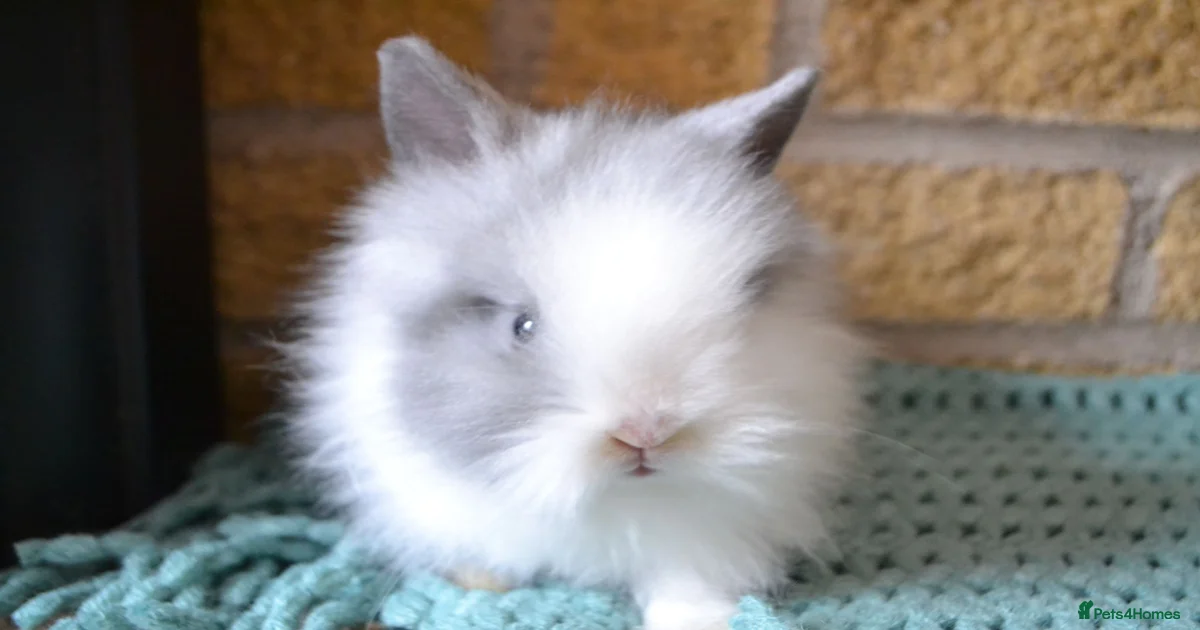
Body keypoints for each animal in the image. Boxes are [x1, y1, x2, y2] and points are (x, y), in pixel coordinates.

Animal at [277, 35, 868, 630]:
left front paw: (699, 617)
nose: (646, 432)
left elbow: (686, 577)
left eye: (743, 302)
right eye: (522, 326)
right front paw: (481, 584)